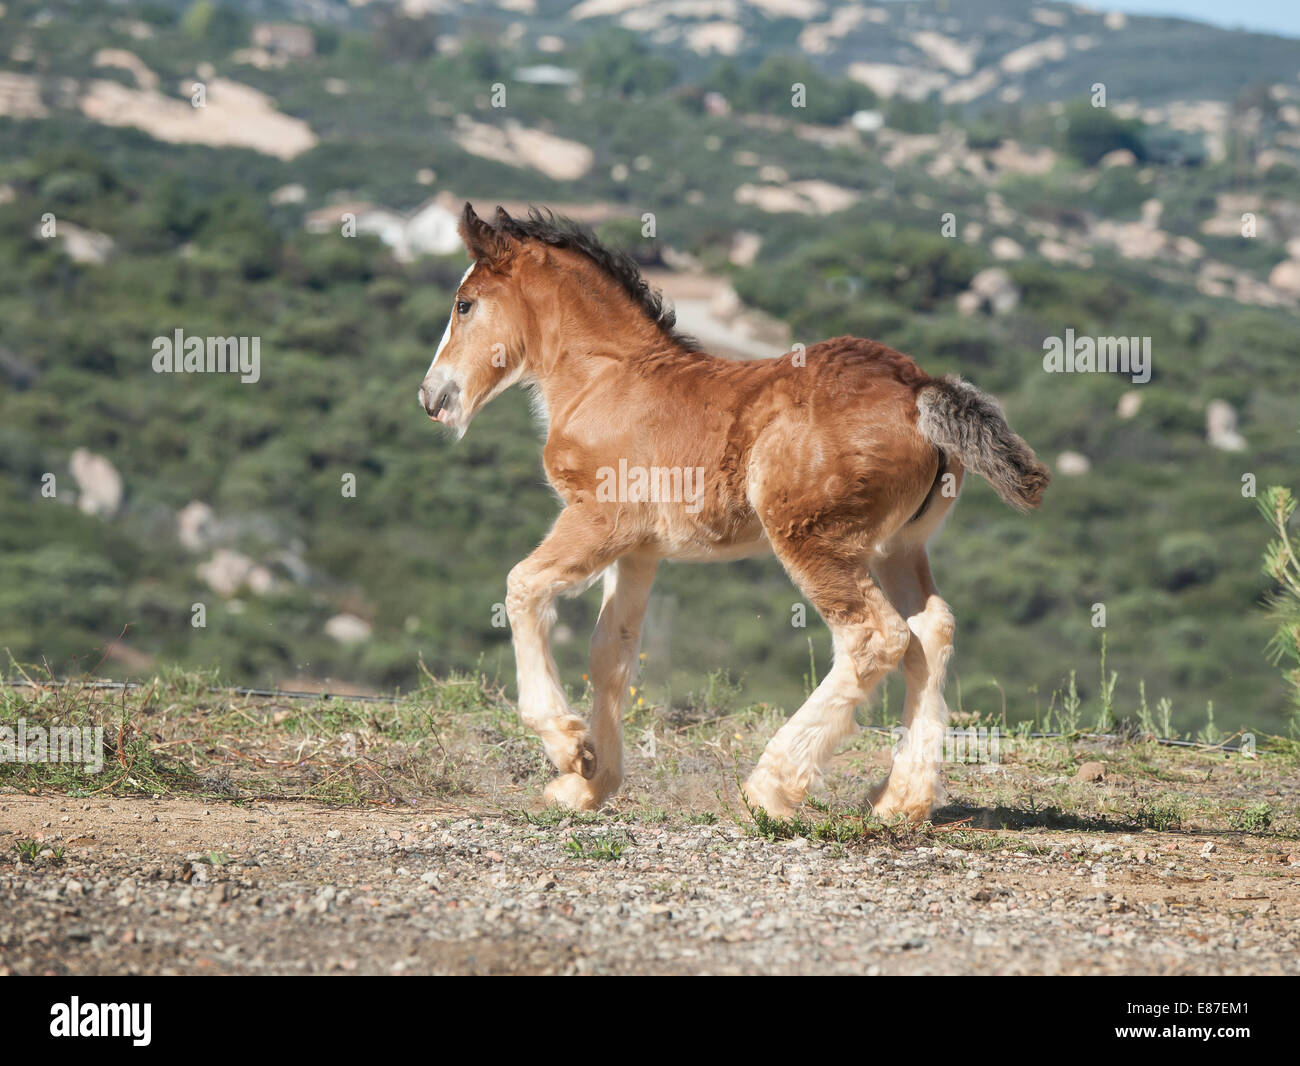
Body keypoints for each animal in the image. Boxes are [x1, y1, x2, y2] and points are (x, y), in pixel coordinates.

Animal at [419, 204, 1050, 821]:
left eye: (464, 303)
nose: (432, 397)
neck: (605, 378)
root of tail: (919, 388)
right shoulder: (640, 549)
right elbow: (611, 652)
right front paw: (588, 785)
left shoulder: (599, 519)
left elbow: (523, 587)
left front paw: (570, 748)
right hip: (899, 547)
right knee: (930, 631)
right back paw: (901, 801)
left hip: (812, 538)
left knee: (876, 638)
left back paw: (770, 788)